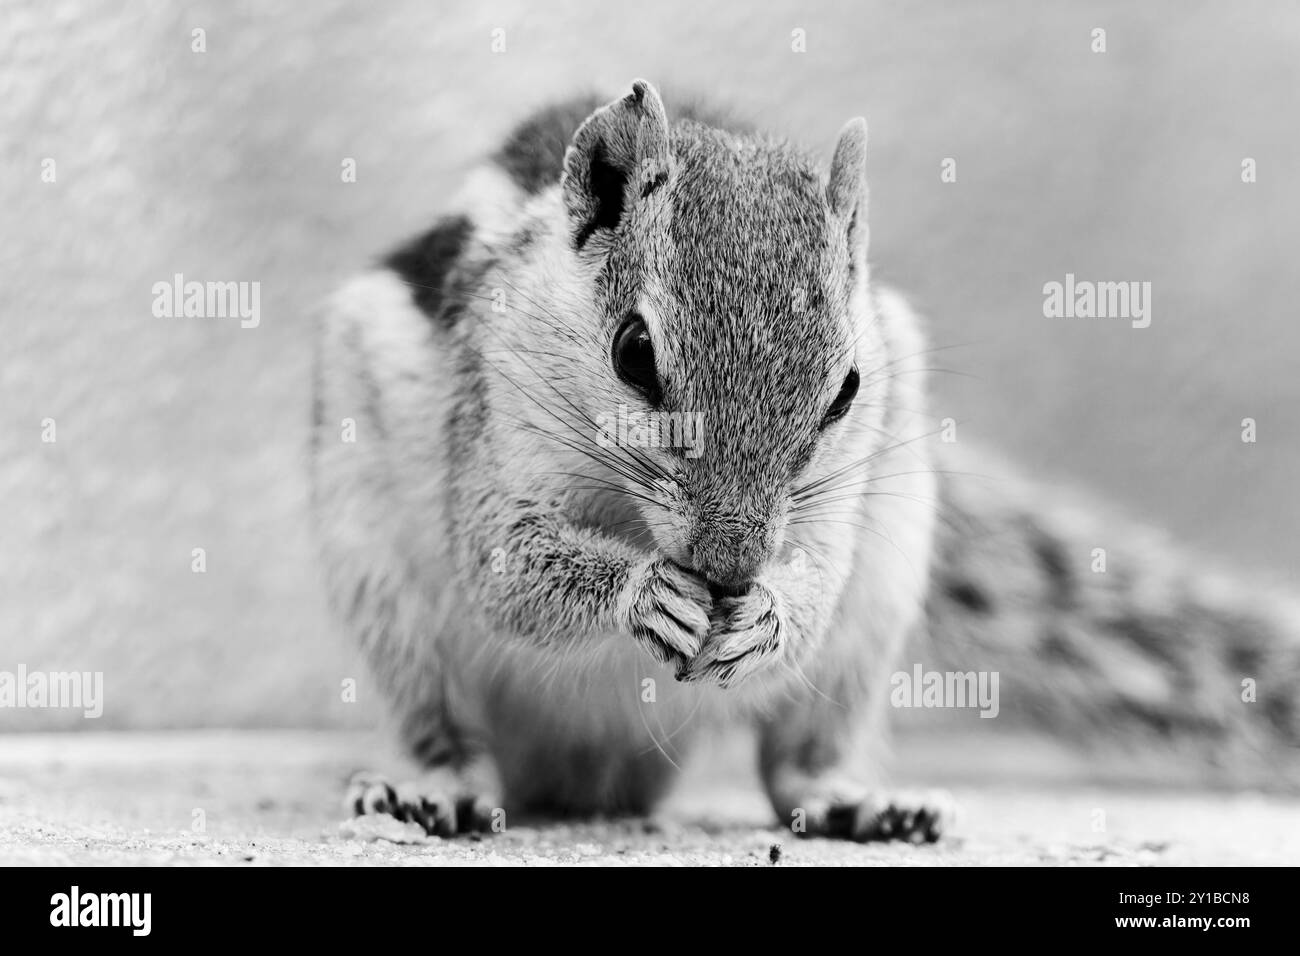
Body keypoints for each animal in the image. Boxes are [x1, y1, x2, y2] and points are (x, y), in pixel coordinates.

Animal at [311, 79, 1300, 842]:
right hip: (384, 590)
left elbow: (818, 578)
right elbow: (505, 567)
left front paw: (768, 616)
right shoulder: (490, 428)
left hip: (881, 597)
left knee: (799, 759)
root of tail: (592, 775)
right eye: (633, 352)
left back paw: (855, 803)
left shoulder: (843, 494)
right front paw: (648, 594)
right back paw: (428, 786)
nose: (730, 566)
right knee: (443, 729)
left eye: (848, 389)